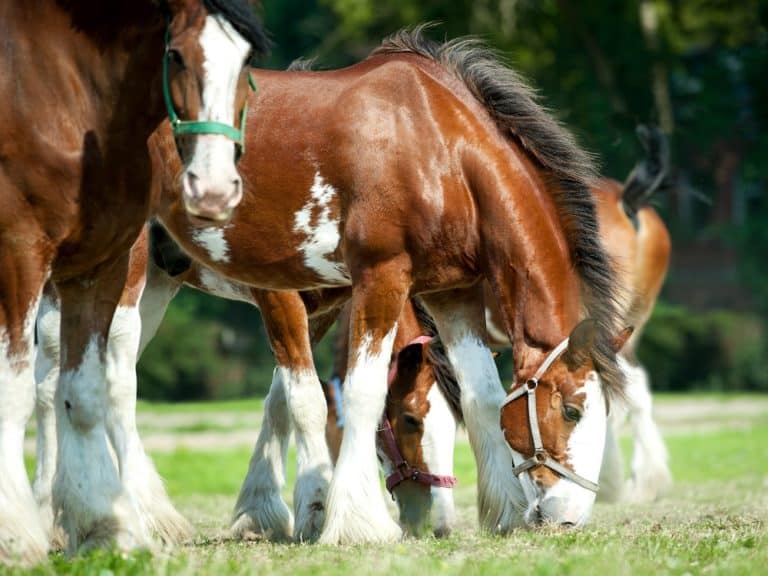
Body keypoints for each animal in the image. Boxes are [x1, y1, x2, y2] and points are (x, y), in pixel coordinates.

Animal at [0, 0, 266, 561]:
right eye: (175, 55)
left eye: (247, 58)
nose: (213, 188)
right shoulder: (19, 256)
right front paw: (17, 533)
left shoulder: (98, 265)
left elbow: (83, 390)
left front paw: (103, 523)